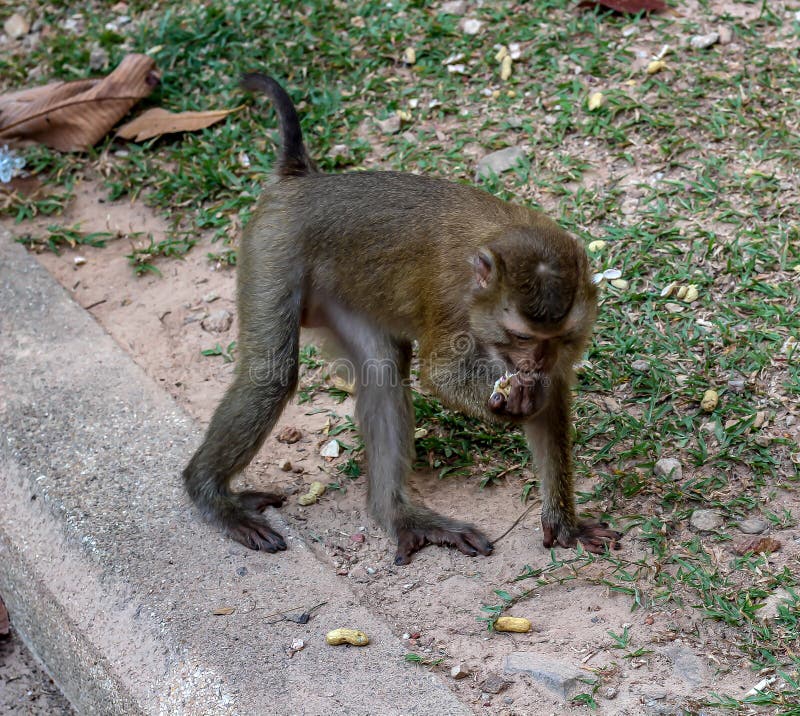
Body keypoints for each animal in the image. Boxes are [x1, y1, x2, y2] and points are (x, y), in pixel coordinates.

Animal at [182, 73, 622, 565]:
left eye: (558, 338)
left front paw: (564, 524)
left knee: (383, 371)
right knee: (270, 375)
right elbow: (441, 375)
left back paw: (397, 514)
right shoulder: (453, 307)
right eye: (520, 337)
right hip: (273, 245)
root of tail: (301, 180)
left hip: (342, 292)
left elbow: (552, 403)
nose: (535, 364)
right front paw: (507, 404)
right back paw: (210, 495)